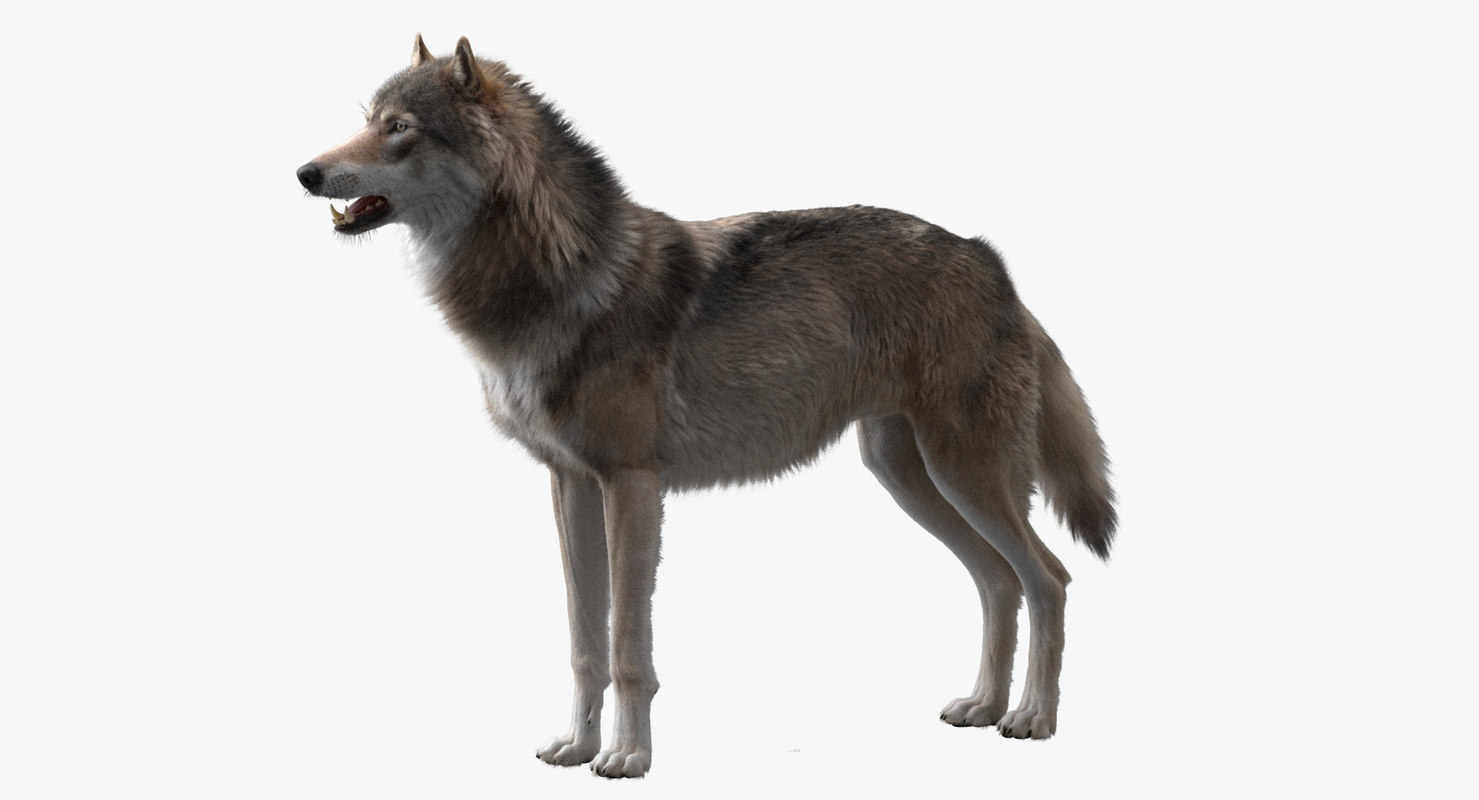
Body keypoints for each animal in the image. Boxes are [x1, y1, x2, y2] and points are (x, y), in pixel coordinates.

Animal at [297, 35, 1116, 778]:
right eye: (367, 119)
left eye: (400, 127)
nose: (305, 172)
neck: (558, 279)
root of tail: (990, 261)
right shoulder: (569, 485)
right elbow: (585, 644)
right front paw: (576, 747)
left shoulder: (633, 486)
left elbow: (628, 647)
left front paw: (627, 757)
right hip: (909, 476)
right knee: (999, 583)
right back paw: (981, 707)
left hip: (959, 475)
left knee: (1048, 579)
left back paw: (1031, 717)